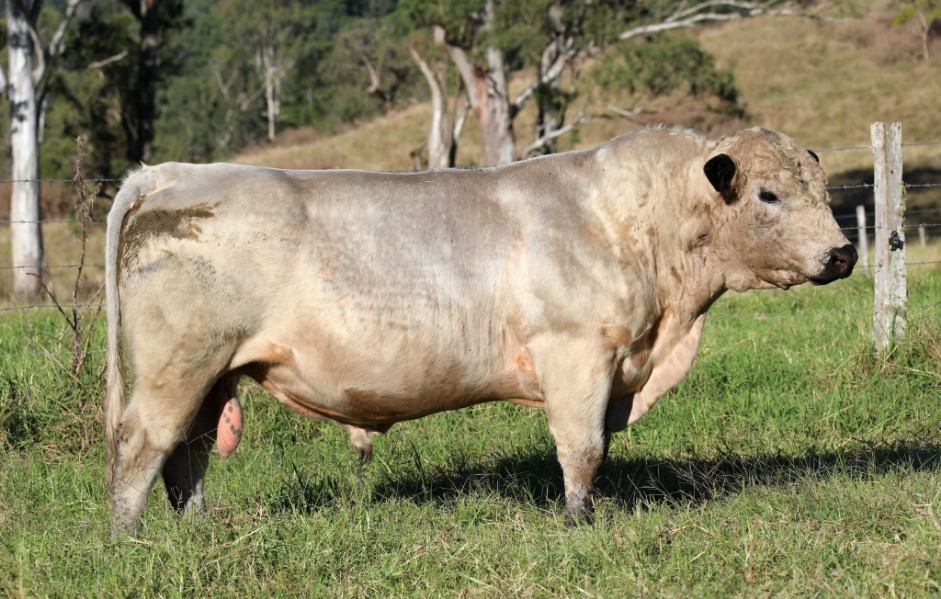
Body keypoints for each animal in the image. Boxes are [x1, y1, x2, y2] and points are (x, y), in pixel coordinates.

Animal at [104, 126, 856, 535]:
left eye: (822, 192)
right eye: (768, 194)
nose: (843, 253)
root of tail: (178, 172)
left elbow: (598, 449)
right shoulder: (577, 355)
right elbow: (581, 448)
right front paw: (578, 521)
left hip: (212, 374)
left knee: (188, 454)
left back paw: (195, 527)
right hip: (177, 366)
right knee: (141, 446)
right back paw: (132, 539)